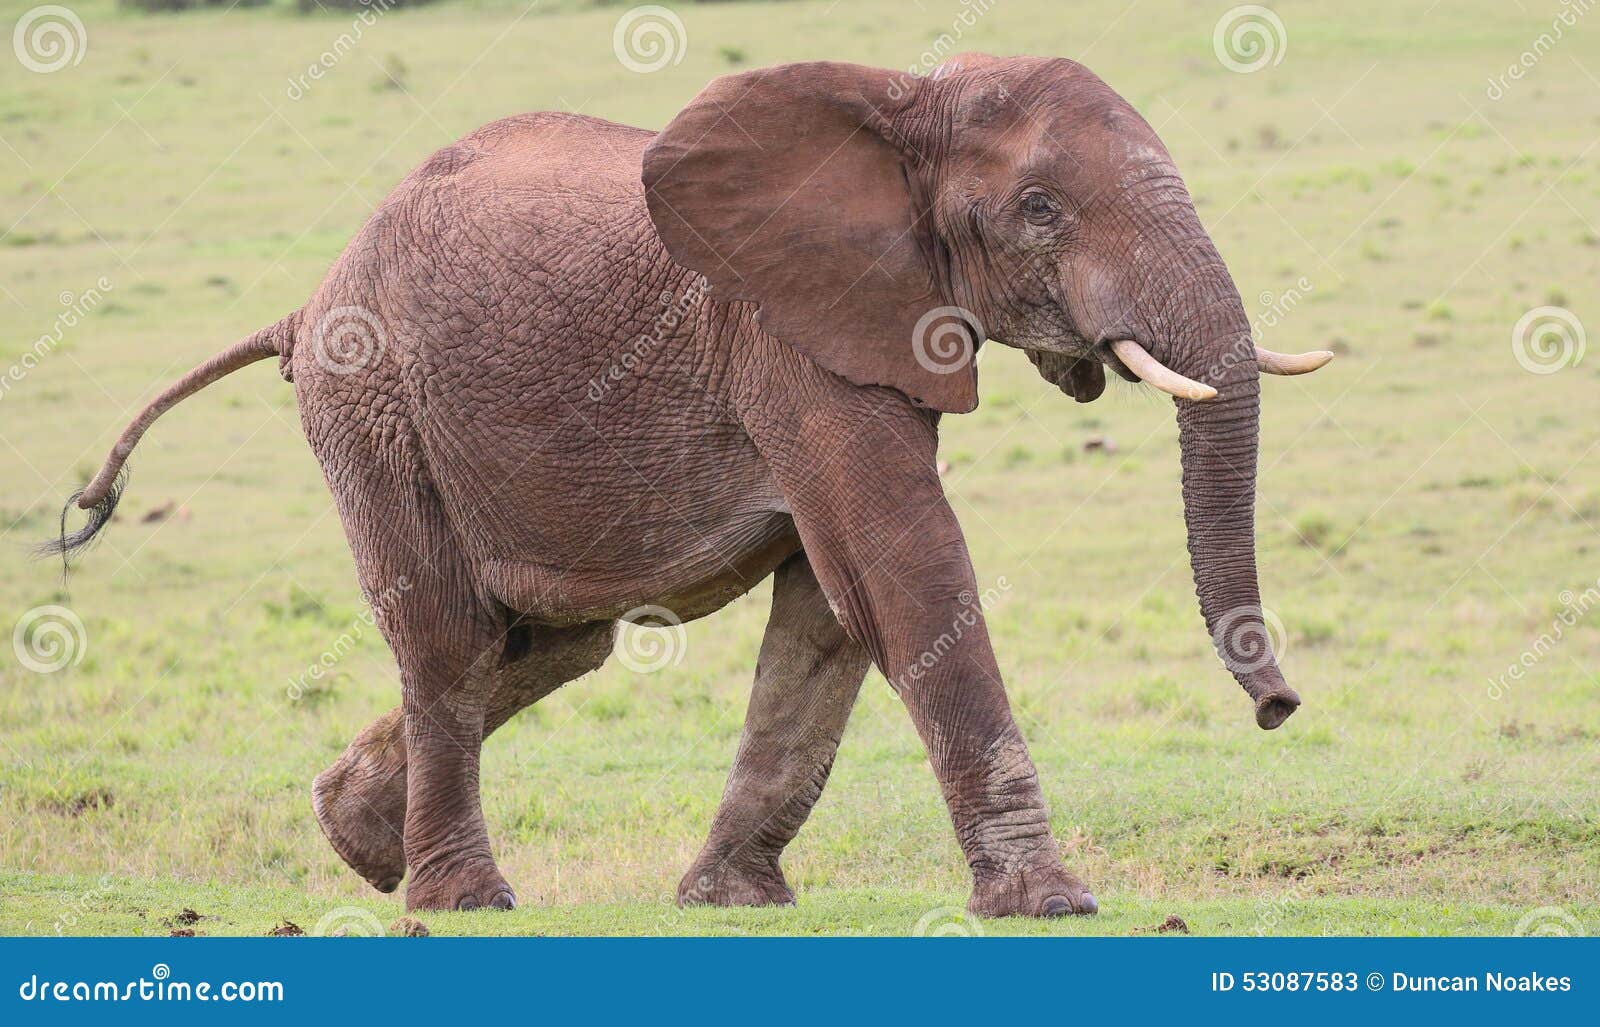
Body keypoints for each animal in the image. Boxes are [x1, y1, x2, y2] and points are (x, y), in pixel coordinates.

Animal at [47, 54, 1330, 917]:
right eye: (1039, 209)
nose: (1279, 709)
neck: (901, 95)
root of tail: (305, 301)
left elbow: (829, 610)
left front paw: (730, 898)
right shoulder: (783, 331)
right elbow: (903, 568)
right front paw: (1049, 901)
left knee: (545, 642)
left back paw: (359, 842)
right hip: (371, 407)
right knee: (451, 640)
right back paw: (460, 898)